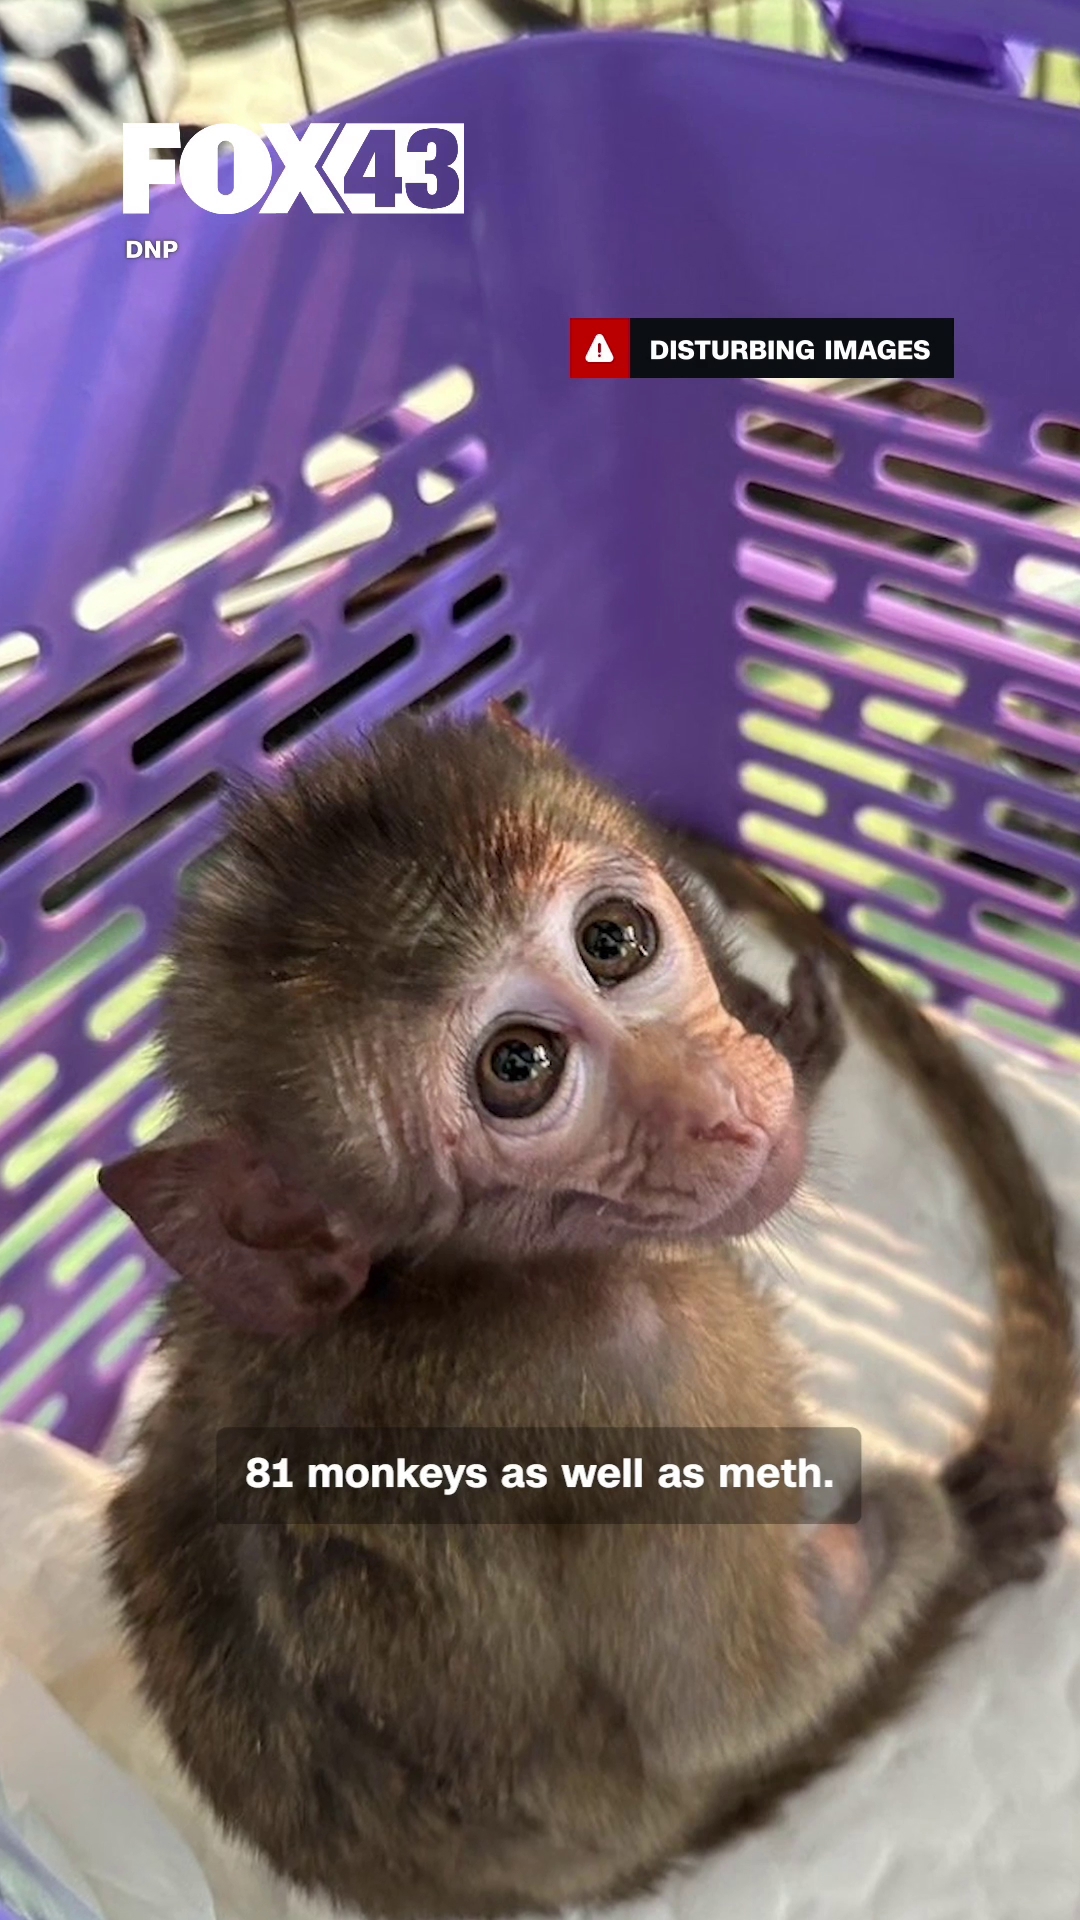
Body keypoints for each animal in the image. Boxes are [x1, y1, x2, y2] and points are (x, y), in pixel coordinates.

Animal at [97, 705, 1073, 1920]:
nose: (720, 1104)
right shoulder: (653, 1382)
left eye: (613, 942)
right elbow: (724, 1713)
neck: (455, 1275)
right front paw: (960, 1536)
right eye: (519, 1067)